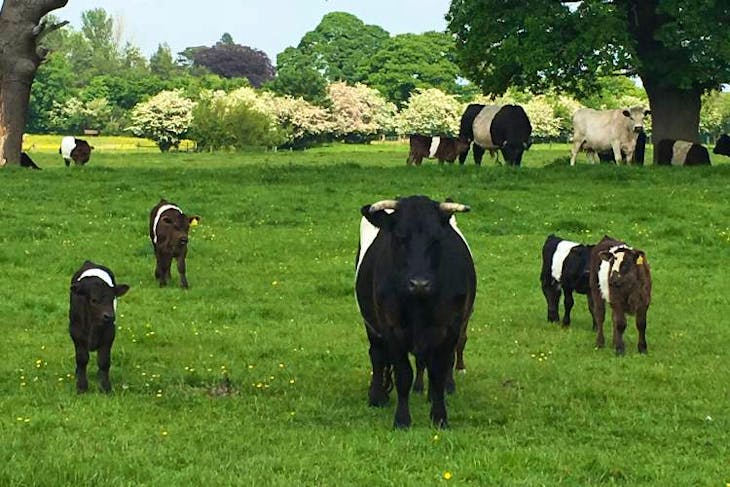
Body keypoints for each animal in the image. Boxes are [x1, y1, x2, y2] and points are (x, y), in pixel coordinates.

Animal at [69, 260, 130, 393]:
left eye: (113, 298)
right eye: (93, 300)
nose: (110, 316)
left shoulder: (109, 333)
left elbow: (104, 361)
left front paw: (106, 387)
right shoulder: (76, 333)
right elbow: (82, 359)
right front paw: (81, 387)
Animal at [355, 195, 476, 428]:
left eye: (437, 239)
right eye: (400, 237)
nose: (419, 283)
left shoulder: (449, 327)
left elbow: (438, 371)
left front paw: (439, 417)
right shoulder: (391, 328)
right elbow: (403, 374)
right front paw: (402, 420)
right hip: (372, 325)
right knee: (377, 355)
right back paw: (377, 396)